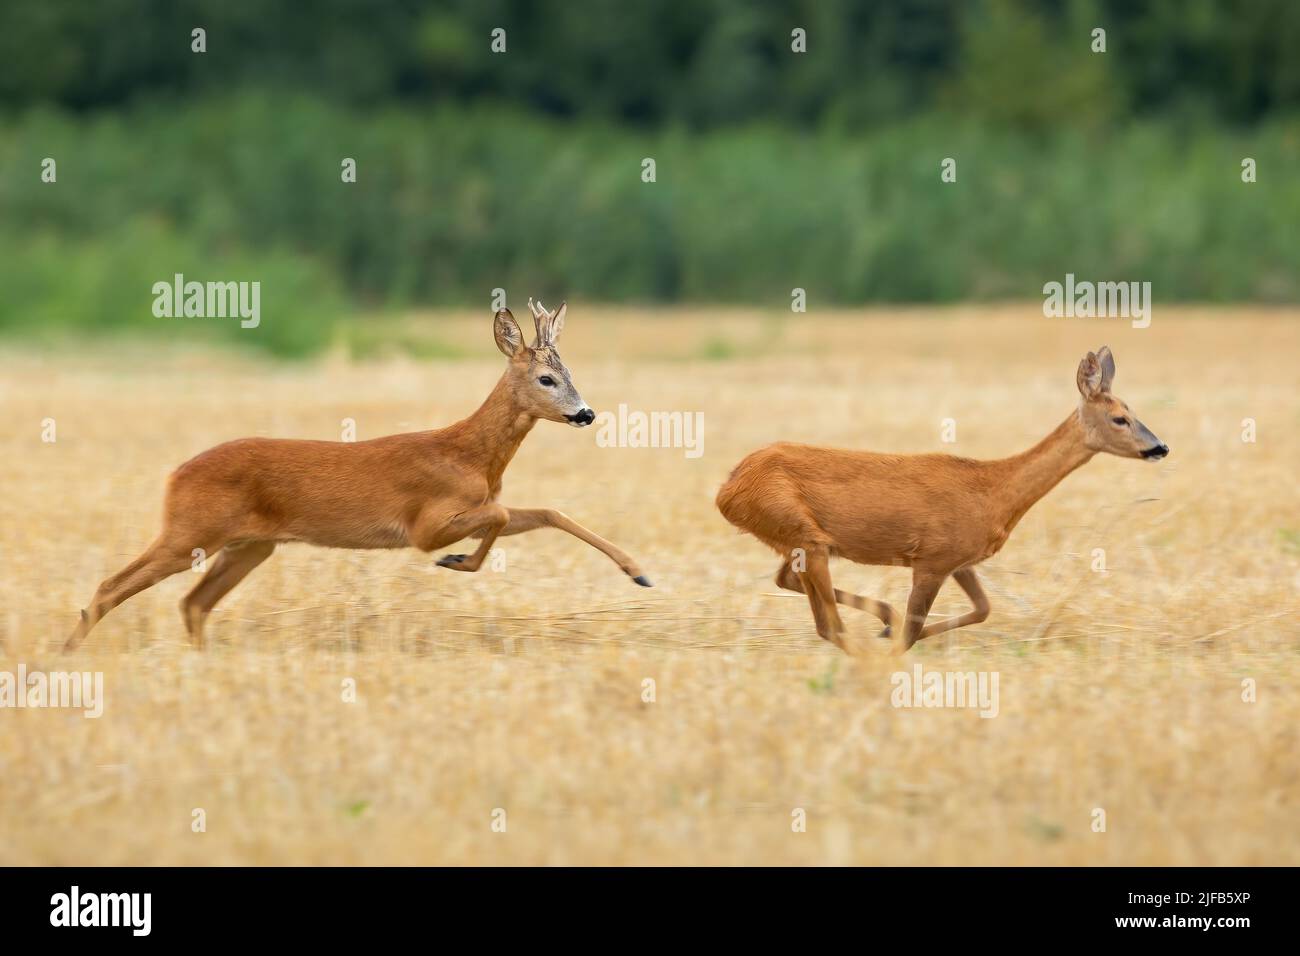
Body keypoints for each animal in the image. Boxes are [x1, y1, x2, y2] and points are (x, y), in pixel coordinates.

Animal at [65, 299, 652, 651]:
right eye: (547, 378)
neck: (469, 454)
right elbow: (503, 514)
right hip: (190, 530)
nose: (586, 414)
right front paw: (458, 562)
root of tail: (173, 476)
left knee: (193, 603)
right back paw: (65, 656)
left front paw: (639, 573)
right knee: (111, 586)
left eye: (571, 373)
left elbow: (546, 510)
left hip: (251, 545)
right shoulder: (425, 524)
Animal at [715, 347, 1168, 655]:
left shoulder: (960, 559)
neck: (994, 491)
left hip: (795, 538)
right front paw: (894, 641)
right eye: (1119, 418)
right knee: (829, 624)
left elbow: (983, 608)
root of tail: (727, 490)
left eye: (1133, 411)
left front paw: (893, 630)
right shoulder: (932, 557)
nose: (1160, 447)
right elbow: (914, 629)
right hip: (801, 531)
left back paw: (883, 620)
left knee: (789, 584)